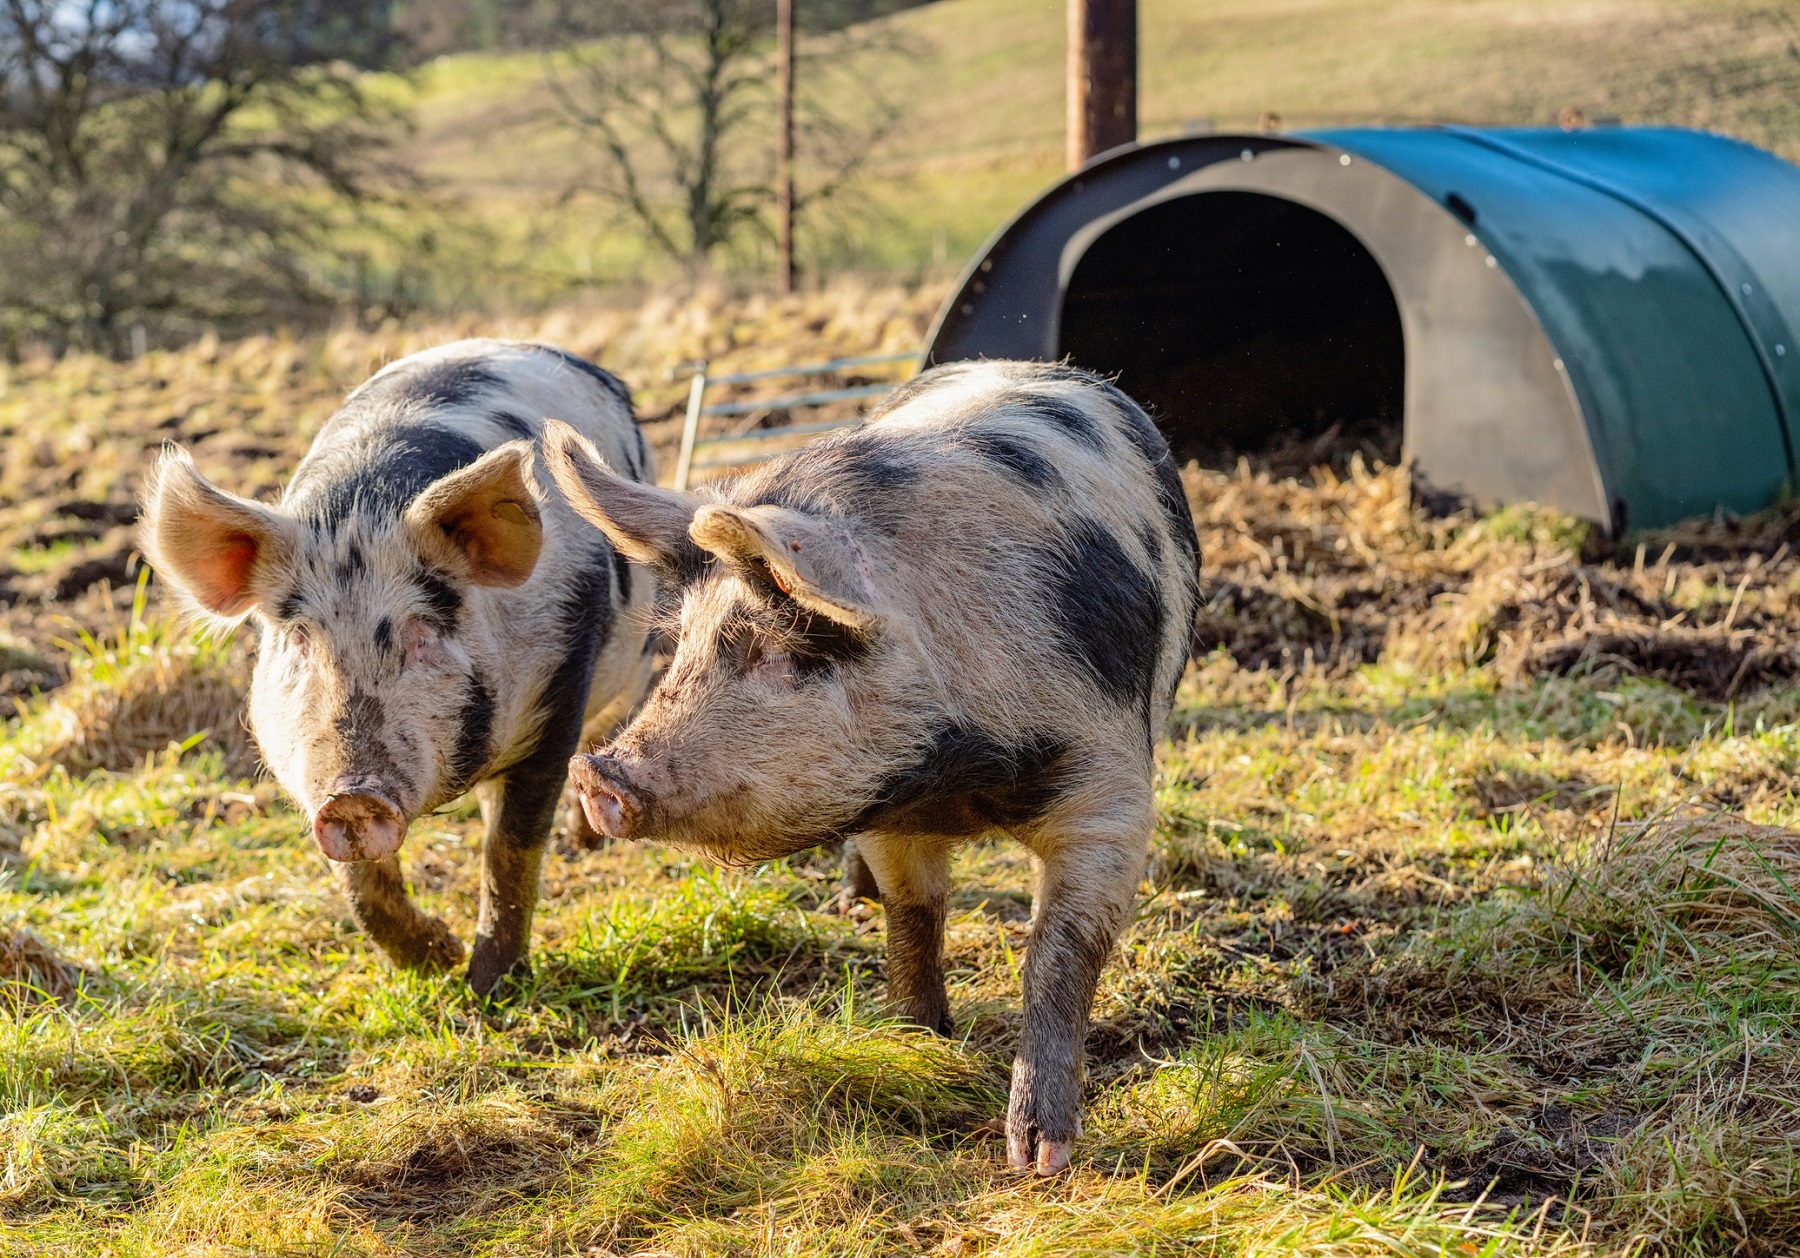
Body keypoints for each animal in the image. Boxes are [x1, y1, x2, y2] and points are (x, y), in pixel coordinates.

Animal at [138, 340, 658, 994]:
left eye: (423, 631)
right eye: (301, 639)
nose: (353, 796)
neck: (361, 513)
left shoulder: (560, 684)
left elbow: (510, 849)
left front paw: (489, 986)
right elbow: (361, 884)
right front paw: (437, 959)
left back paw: (586, 841)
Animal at [540, 360, 1201, 1174]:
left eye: (776, 646)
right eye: (684, 641)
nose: (594, 774)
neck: (960, 775)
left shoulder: (1108, 791)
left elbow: (1060, 952)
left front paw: (1038, 1159)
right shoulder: (886, 809)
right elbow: (913, 915)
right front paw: (915, 1041)